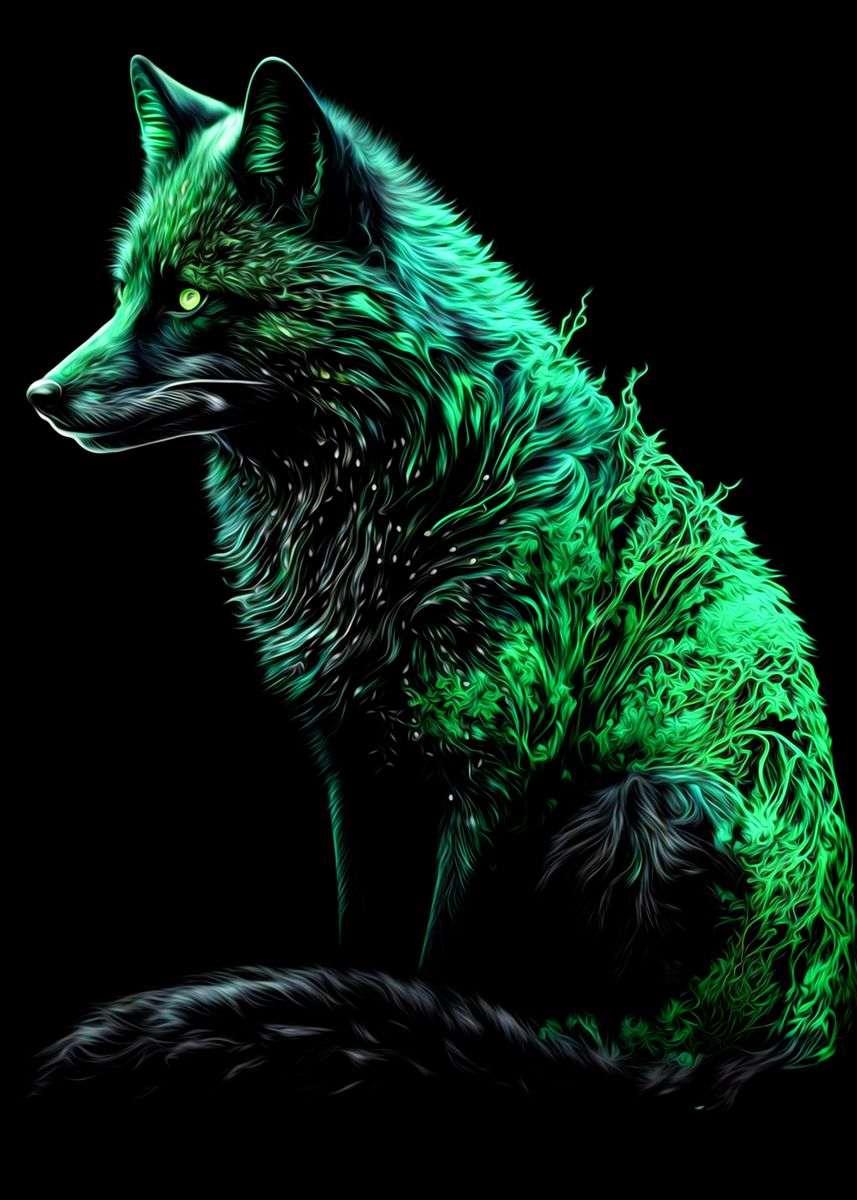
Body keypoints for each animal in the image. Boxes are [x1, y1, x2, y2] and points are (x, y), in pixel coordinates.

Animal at [27, 54, 855, 1111]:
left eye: (188, 300)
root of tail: (801, 1043)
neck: (401, 506)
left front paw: (413, 1041)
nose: (42, 398)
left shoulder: (499, 778)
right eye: (125, 290)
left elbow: (440, 960)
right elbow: (364, 940)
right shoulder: (354, 765)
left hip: (648, 806)